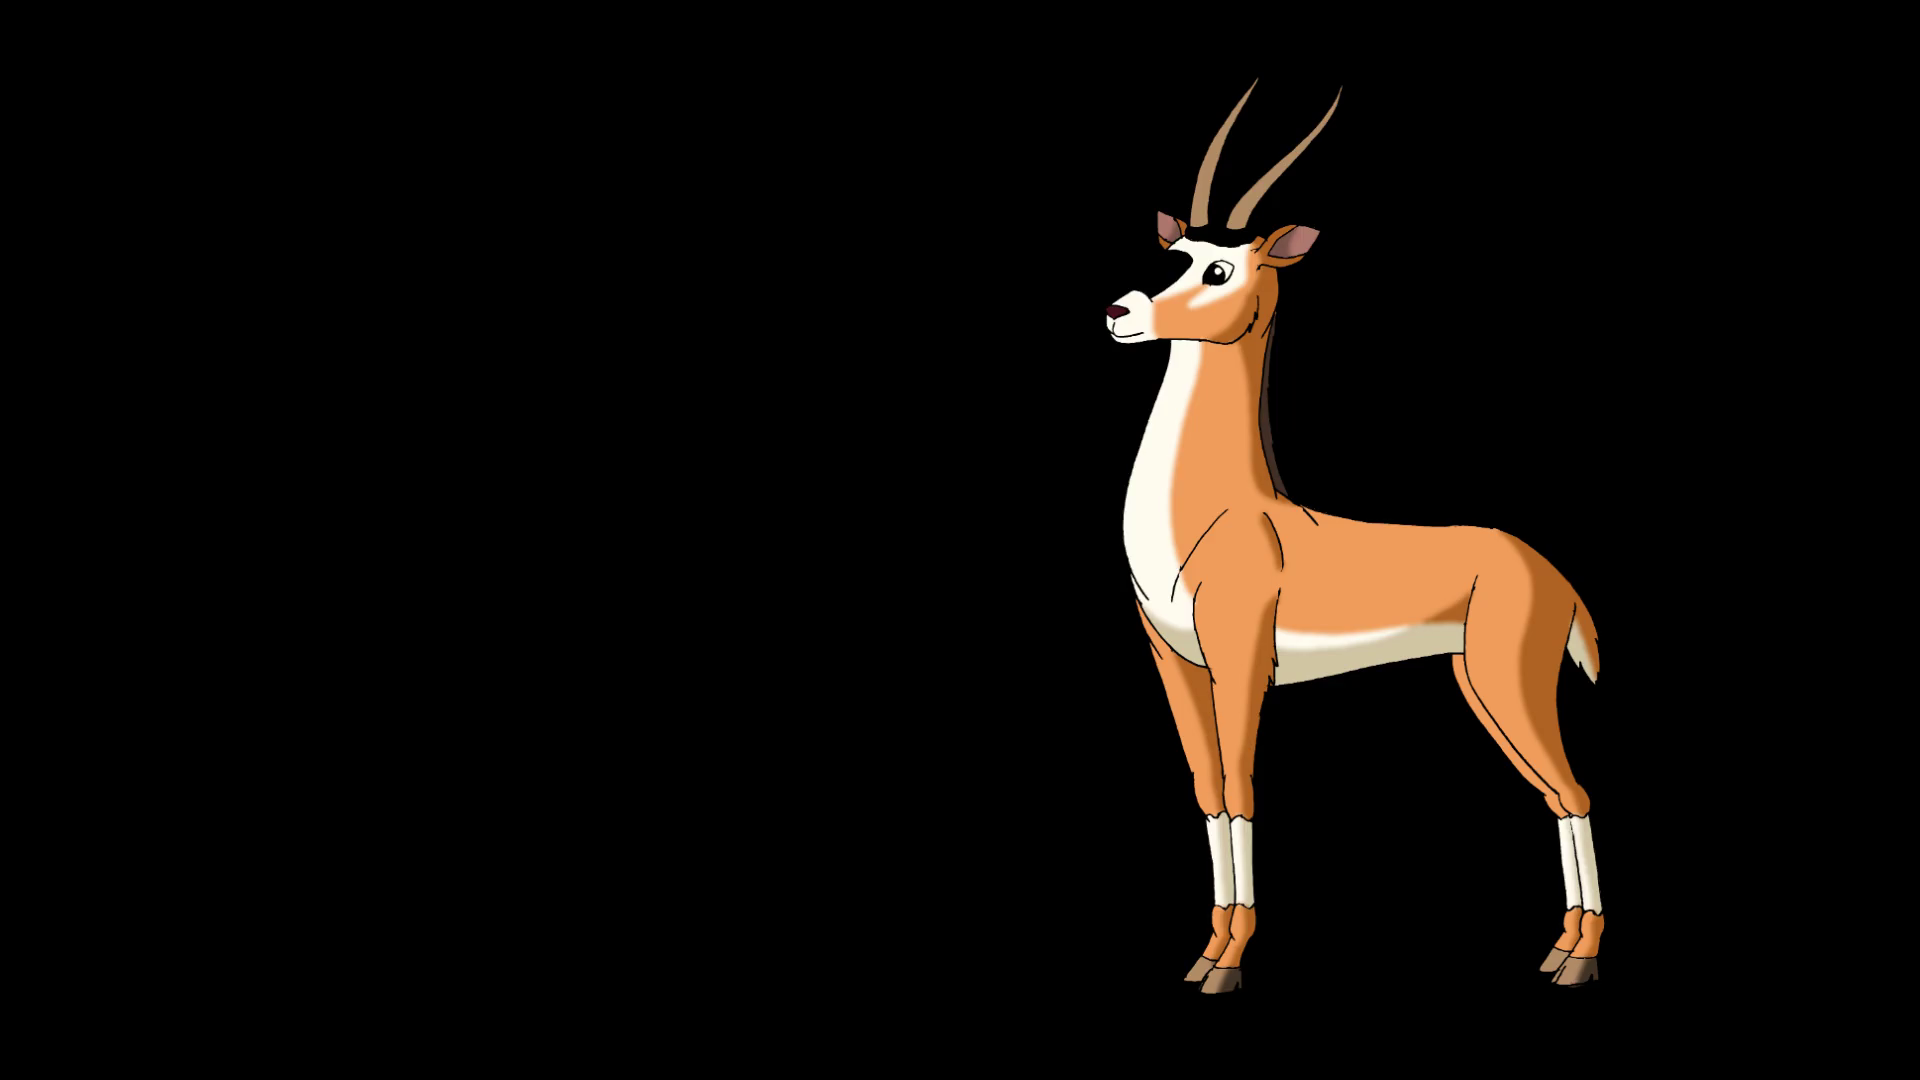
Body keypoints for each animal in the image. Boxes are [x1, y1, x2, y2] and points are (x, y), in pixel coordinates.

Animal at [1108, 83, 1605, 992]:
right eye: (1176, 251)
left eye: (1220, 267)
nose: (1120, 311)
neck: (1220, 512)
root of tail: (1552, 571)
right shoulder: (1173, 661)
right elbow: (1207, 792)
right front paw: (1202, 954)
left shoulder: (1240, 663)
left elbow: (1243, 790)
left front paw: (1231, 961)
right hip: (1476, 683)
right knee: (1557, 795)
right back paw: (1558, 950)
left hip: (1508, 681)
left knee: (1576, 792)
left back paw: (1581, 960)